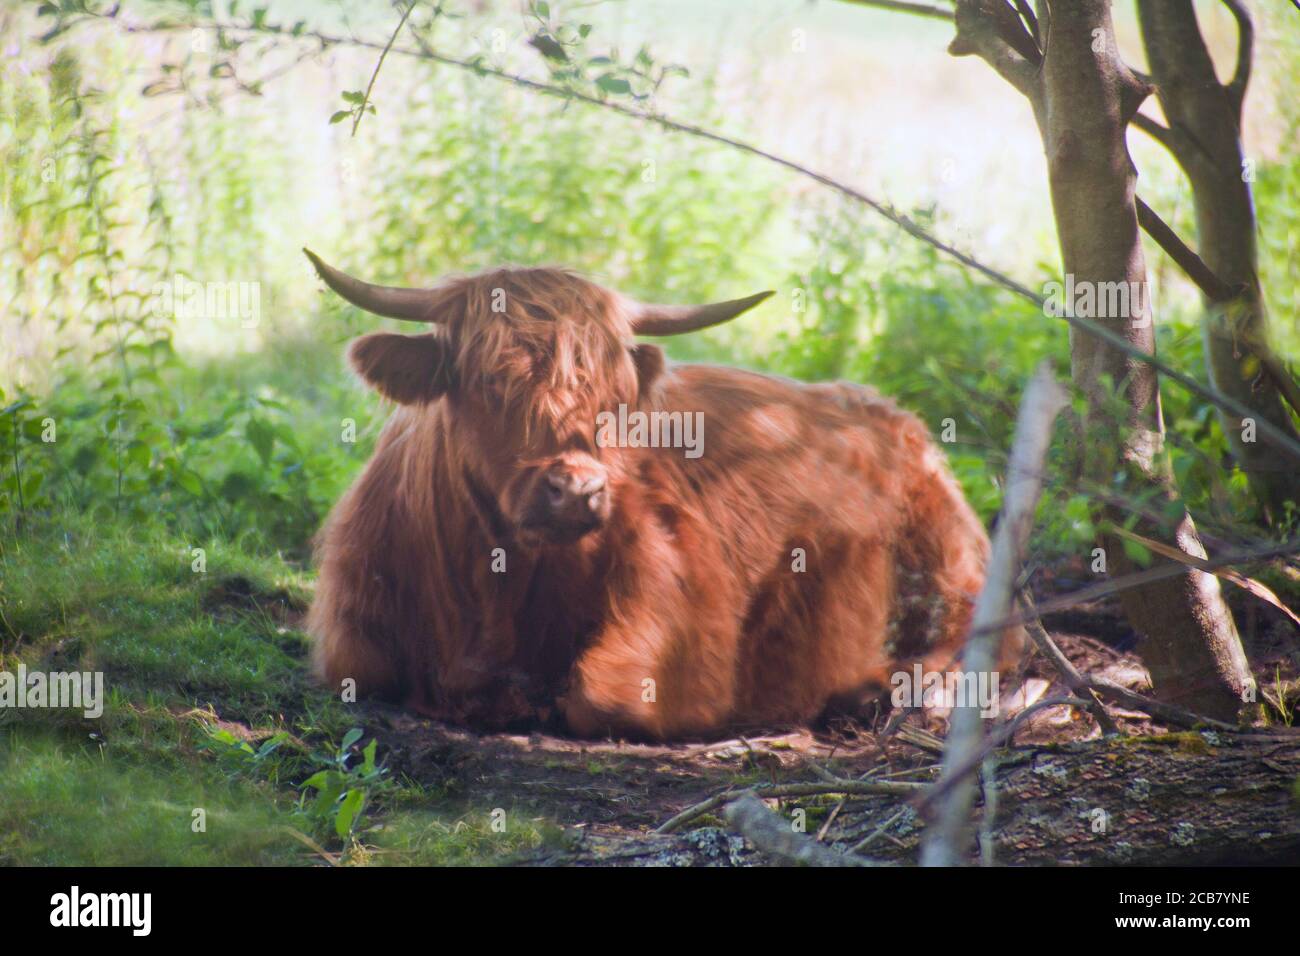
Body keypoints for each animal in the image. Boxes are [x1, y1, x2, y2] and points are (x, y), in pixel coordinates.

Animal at [303, 249, 1023, 741]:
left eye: (615, 395)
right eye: (488, 379)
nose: (577, 490)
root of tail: (872, 403)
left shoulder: (681, 618)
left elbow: (601, 697)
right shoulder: (352, 639)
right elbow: (369, 670)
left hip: (949, 552)